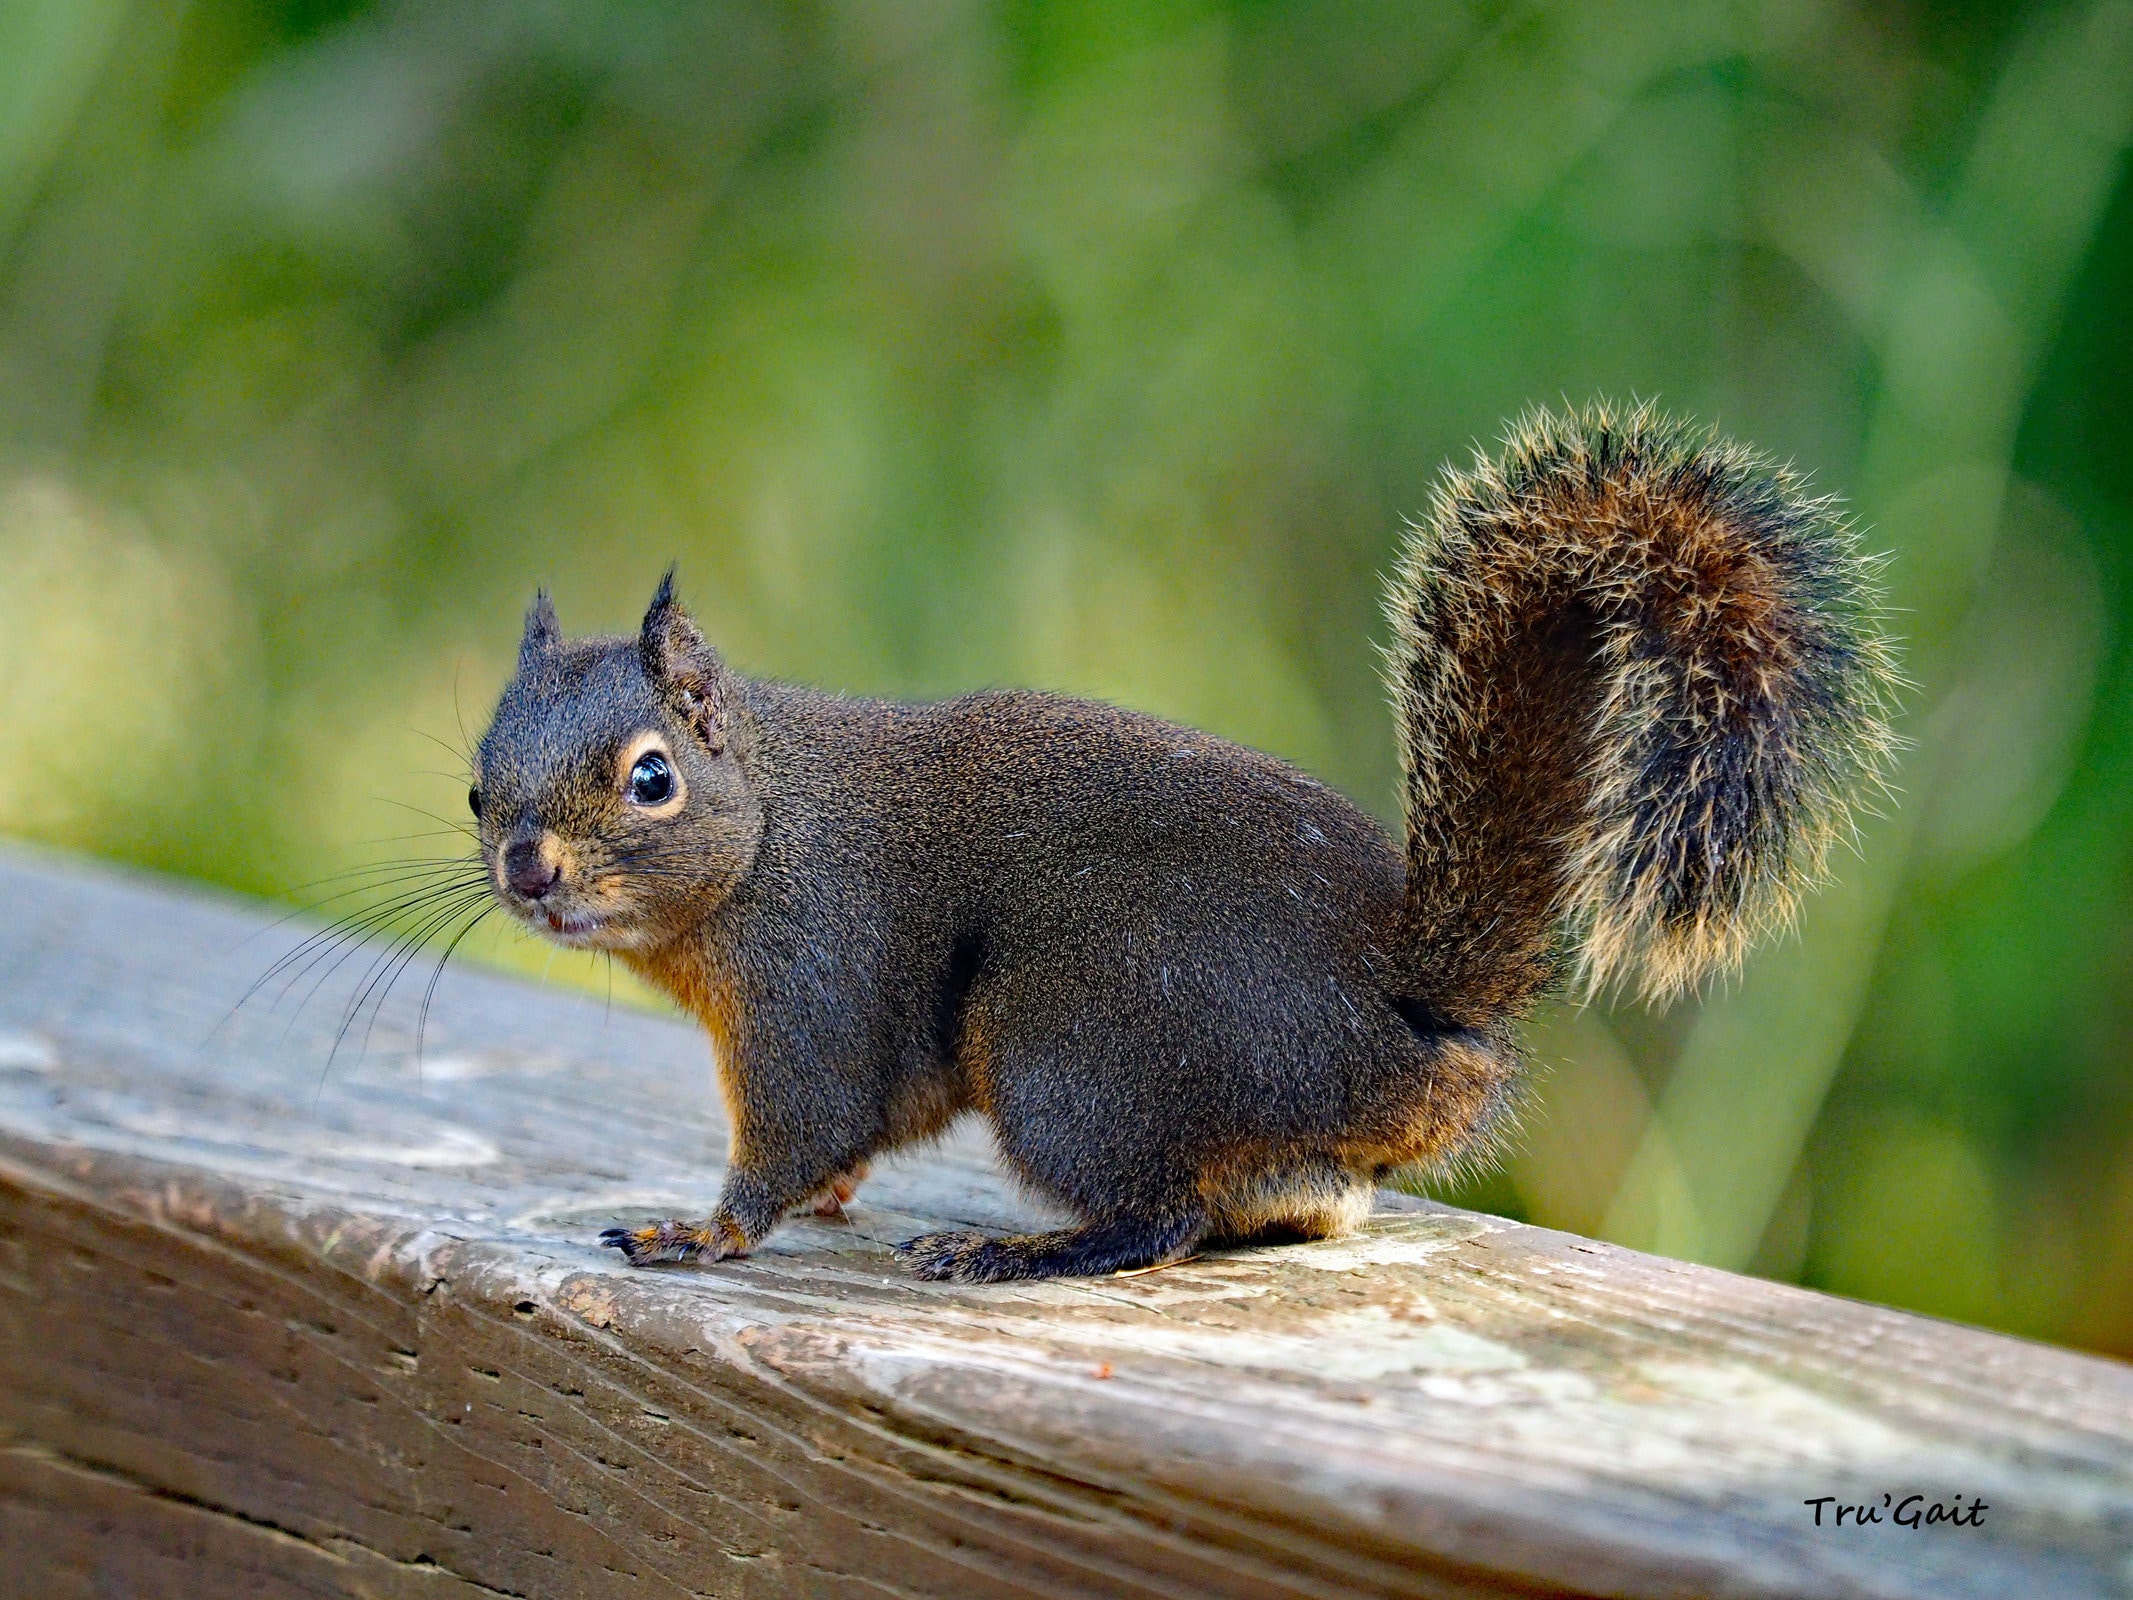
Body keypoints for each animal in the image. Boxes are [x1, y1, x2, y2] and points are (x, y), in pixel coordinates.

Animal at [468, 401, 1898, 1283]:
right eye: (480, 788)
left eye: (651, 778)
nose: (527, 869)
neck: (767, 828)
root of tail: (1408, 1010)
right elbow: (849, 1139)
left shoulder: (810, 982)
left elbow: (800, 1127)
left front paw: (703, 1234)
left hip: (1072, 1042)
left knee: (1157, 1219)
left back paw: (1020, 1251)